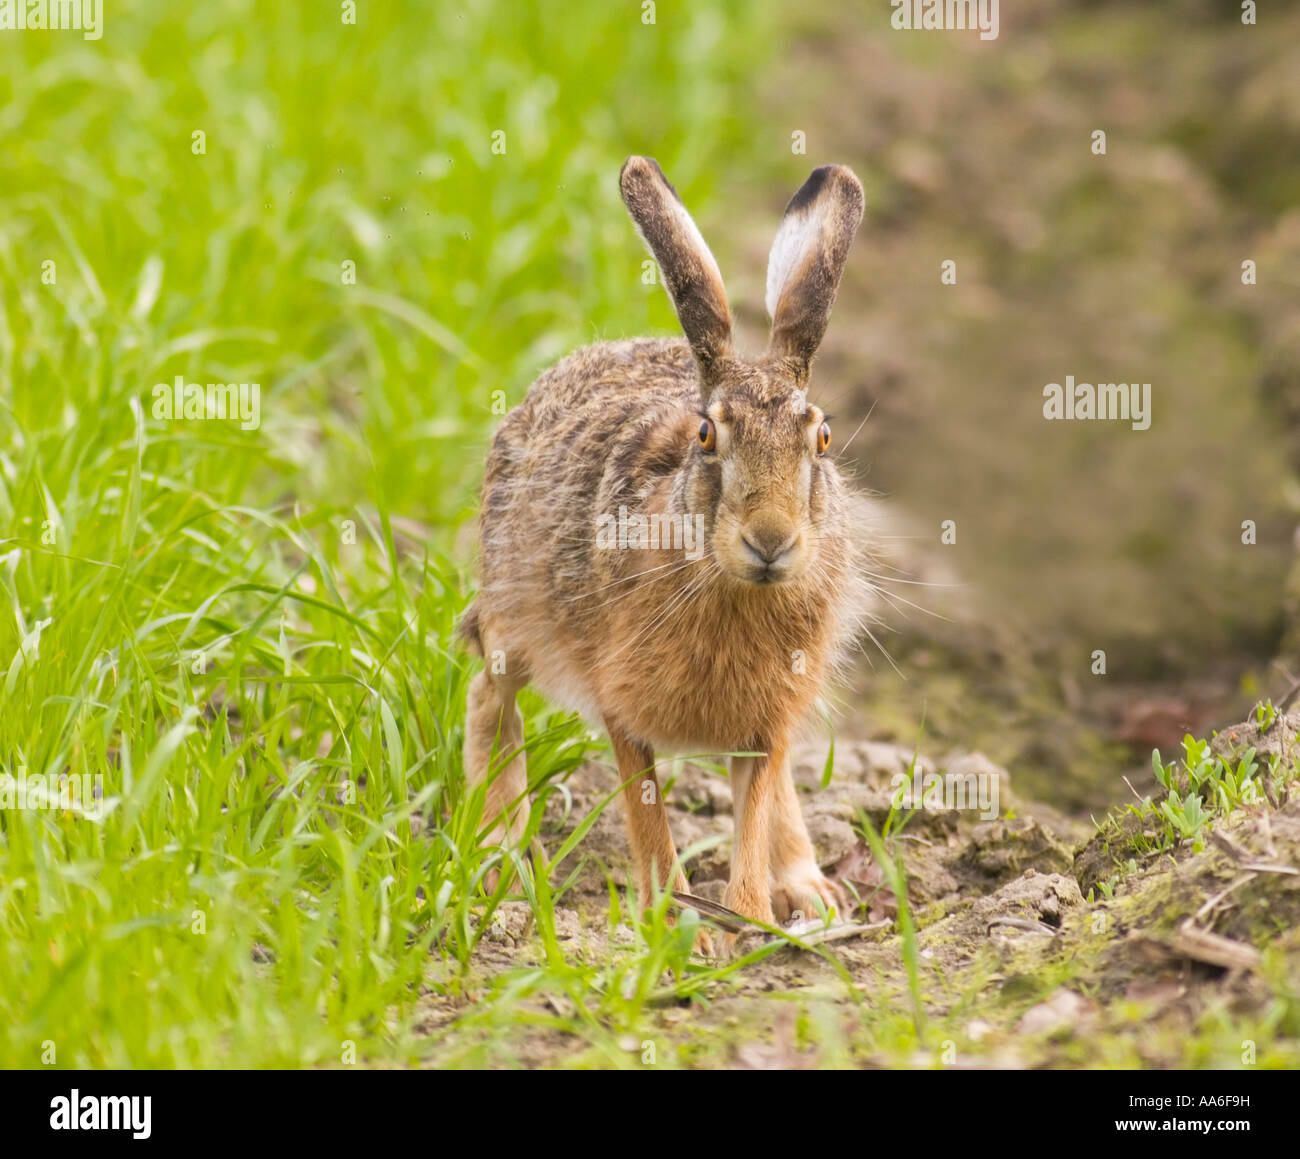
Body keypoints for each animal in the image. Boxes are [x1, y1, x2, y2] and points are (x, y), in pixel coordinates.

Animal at [459, 155, 873, 940]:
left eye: (824, 438)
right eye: (707, 436)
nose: (770, 540)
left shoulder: (769, 718)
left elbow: (755, 806)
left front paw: (748, 919)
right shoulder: (621, 704)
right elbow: (647, 811)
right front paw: (681, 926)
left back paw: (812, 893)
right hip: (513, 610)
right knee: (491, 693)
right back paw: (494, 856)